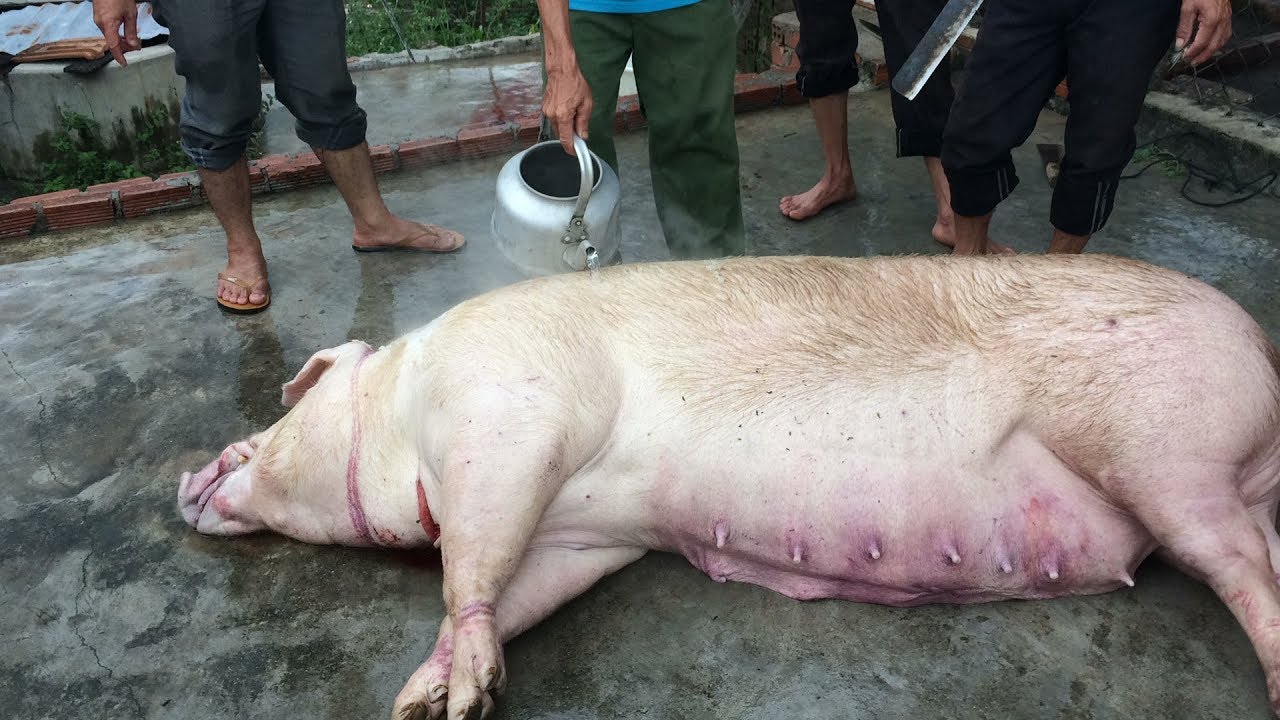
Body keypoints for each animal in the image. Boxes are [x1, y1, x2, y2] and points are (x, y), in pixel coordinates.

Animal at [177, 253, 1280, 720]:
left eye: (257, 437)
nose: (185, 476)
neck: (409, 427)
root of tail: (1265, 355)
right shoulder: (585, 539)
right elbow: (517, 586)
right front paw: (422, 700)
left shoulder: (515, 414)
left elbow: (470, 564)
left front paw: (467, 697)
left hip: (1161, 444)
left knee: (1240, 566)